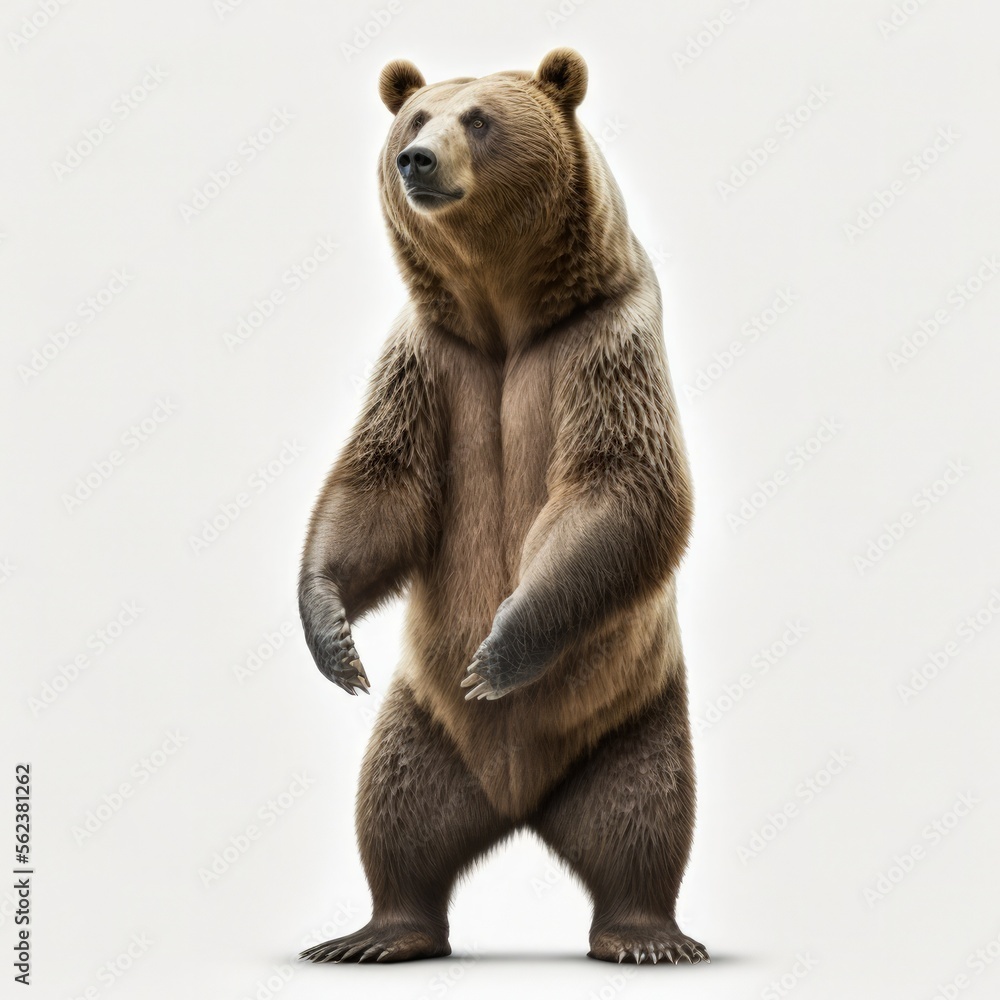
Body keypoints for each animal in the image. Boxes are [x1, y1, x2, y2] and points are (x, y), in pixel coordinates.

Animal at [297, 48, 707, 966]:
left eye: (479, 119)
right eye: (417, 119)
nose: (417, 161)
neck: (506, 316)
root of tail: (518, 804)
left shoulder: (606, 343)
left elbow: (619, 486)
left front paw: (498, 653)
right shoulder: (429, 358)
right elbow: (382, 485)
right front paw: (333, 637)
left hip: (630, 715)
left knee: (646, 810)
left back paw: (645, 935)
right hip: (421, 722)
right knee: (394, 809)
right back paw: (377, 933)